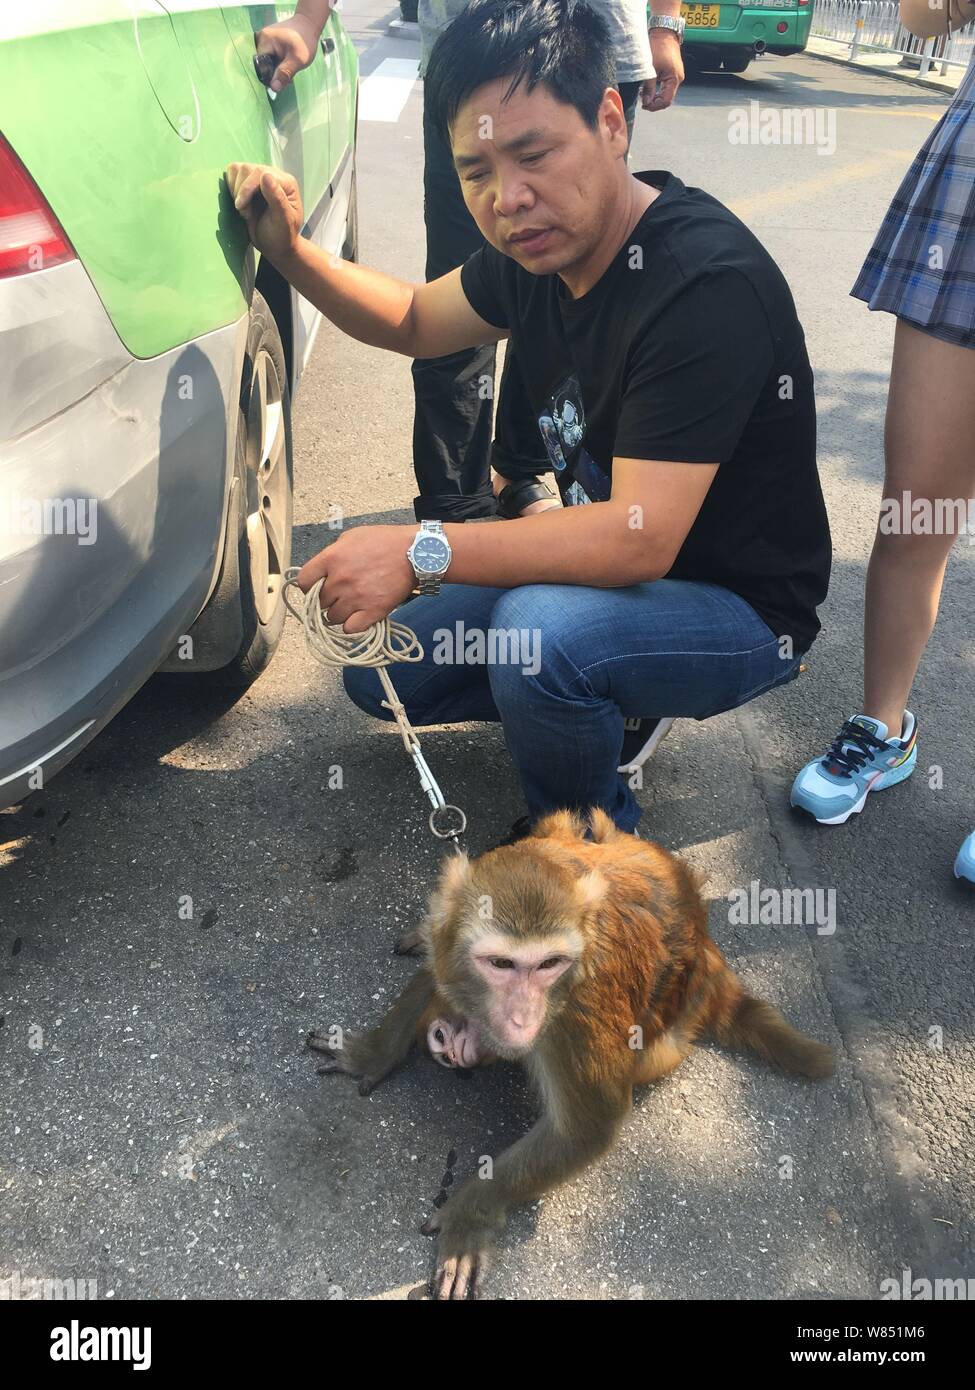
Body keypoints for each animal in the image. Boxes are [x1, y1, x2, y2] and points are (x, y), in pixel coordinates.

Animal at [308, 807, 834, 1299]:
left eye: (549, 964)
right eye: (501, 963)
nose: (522, 1018)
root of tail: (708, 954)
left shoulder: (580, 1011)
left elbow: (586, 1127)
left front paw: (470, 1212)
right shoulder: (450, 948)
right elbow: (429, 978)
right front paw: (373, 1052)